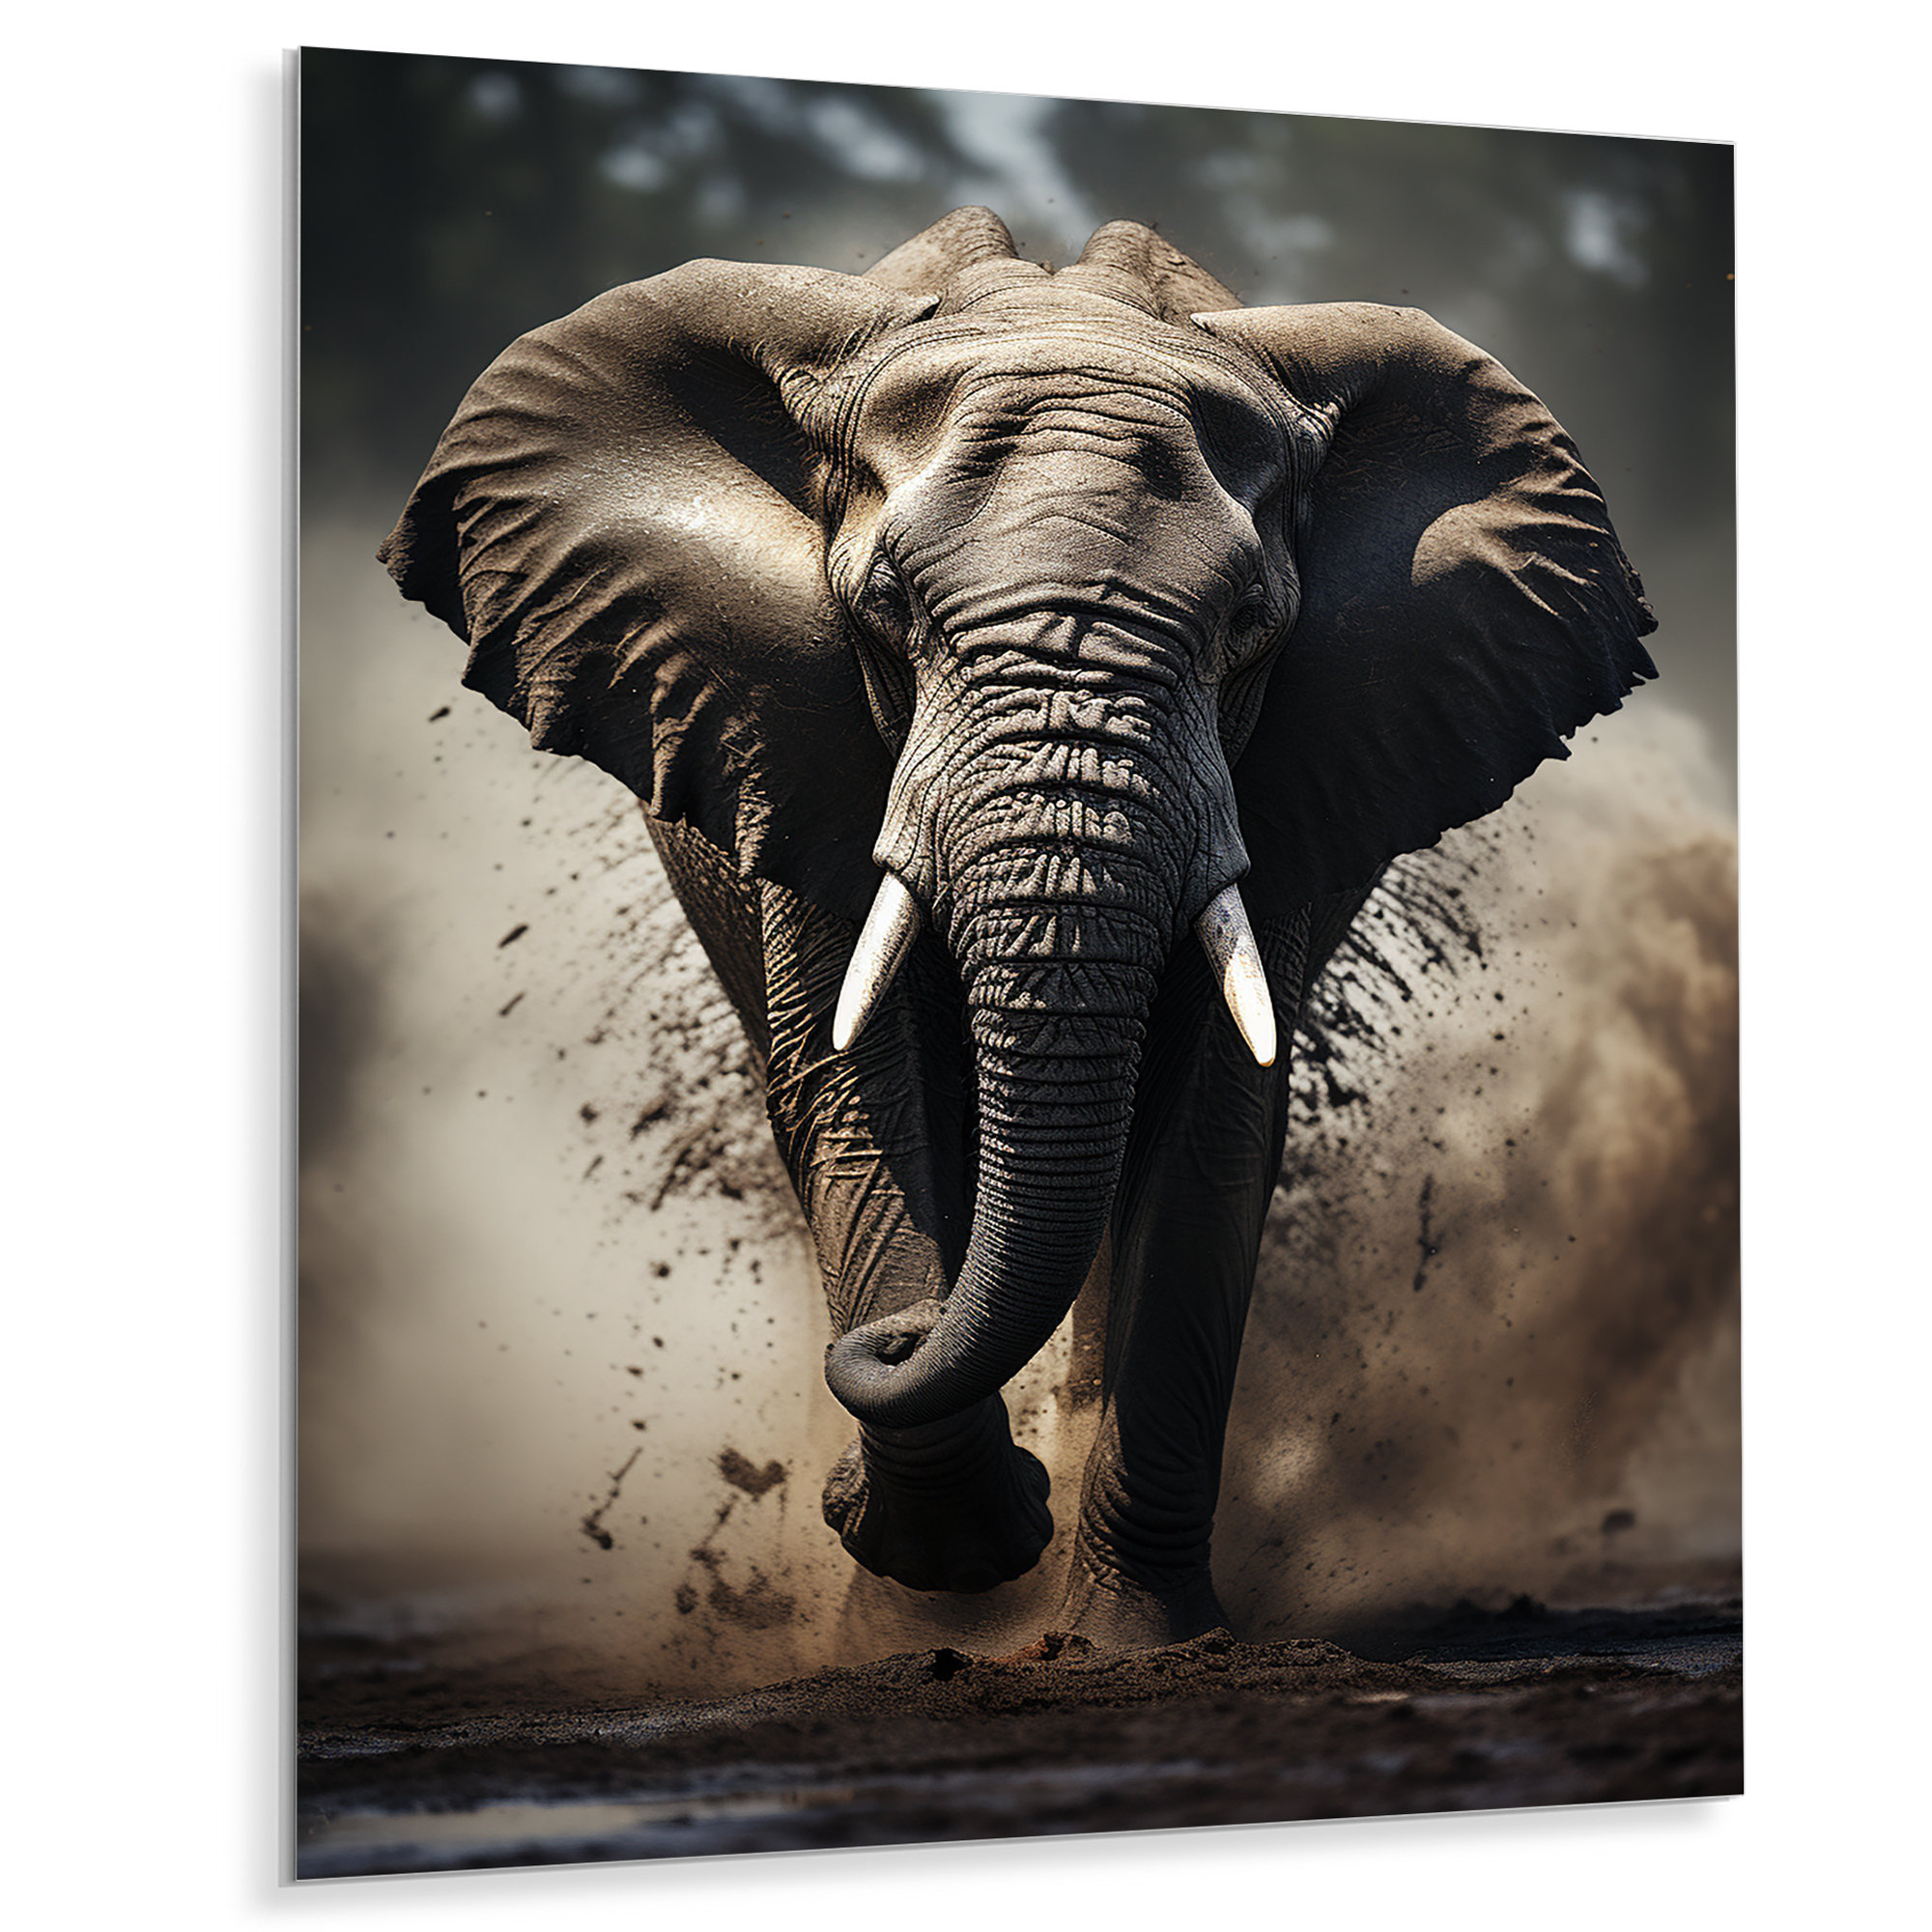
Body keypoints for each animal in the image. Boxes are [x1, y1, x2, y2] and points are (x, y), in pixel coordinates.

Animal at [380, 206, 1655, 1651]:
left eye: (1248, 629)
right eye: (886, 609)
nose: (884, 1357)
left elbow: (1214, 1126)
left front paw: (1133, 1640)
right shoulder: (801, 735)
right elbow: (859, 1092)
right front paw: (940, 1569)